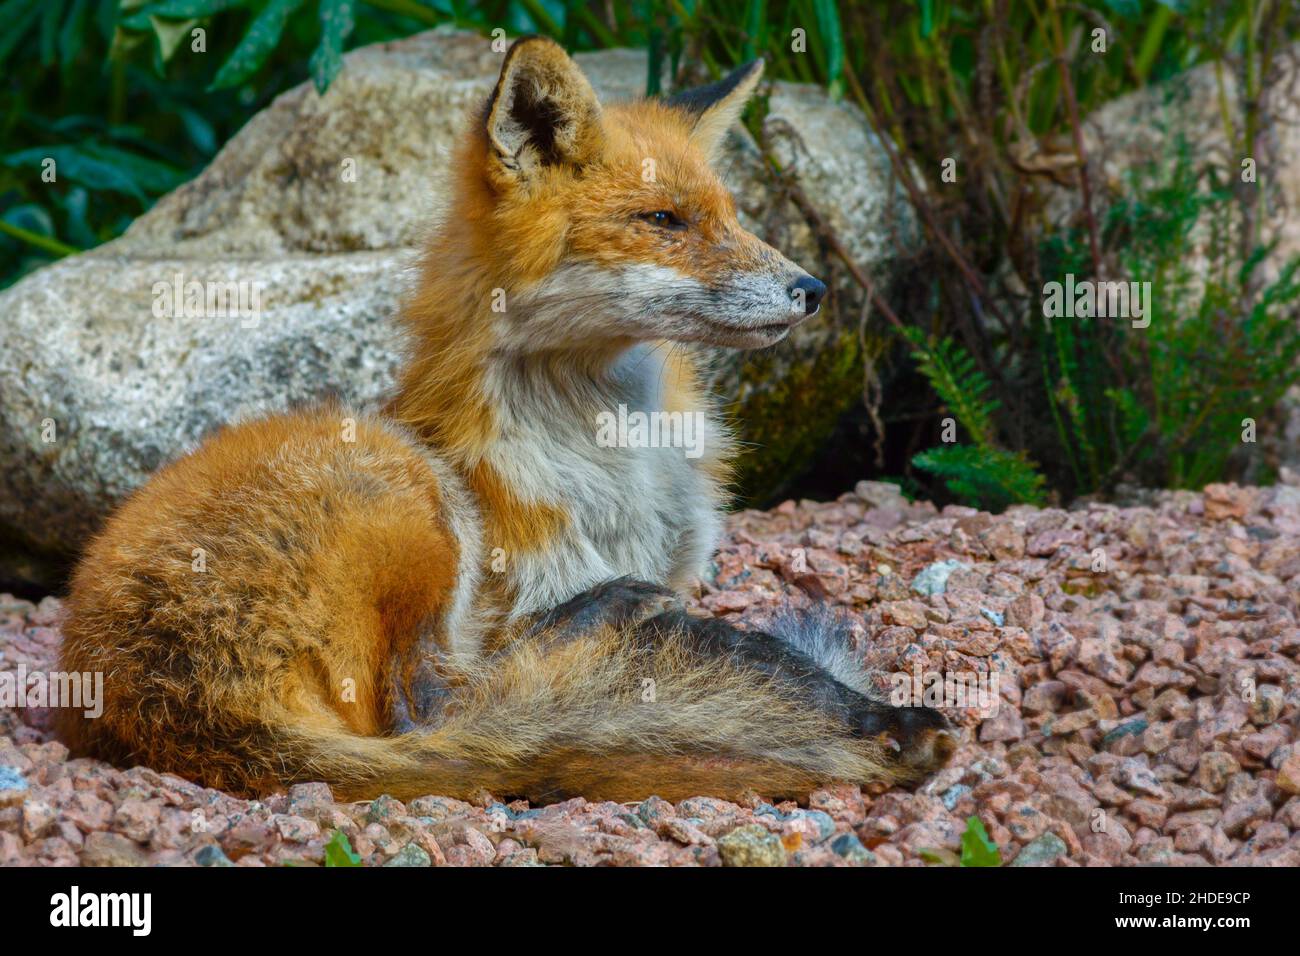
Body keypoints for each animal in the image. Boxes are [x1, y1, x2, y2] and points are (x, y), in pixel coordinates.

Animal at [57, 37, 955, 804]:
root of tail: (161, 696)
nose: (814, 289)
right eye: (664, 221)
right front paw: (877, 717)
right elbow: (734, 648)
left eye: (731, 216)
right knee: (433, 714)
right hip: (404, 488)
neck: (616, 468)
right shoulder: (529, 582)